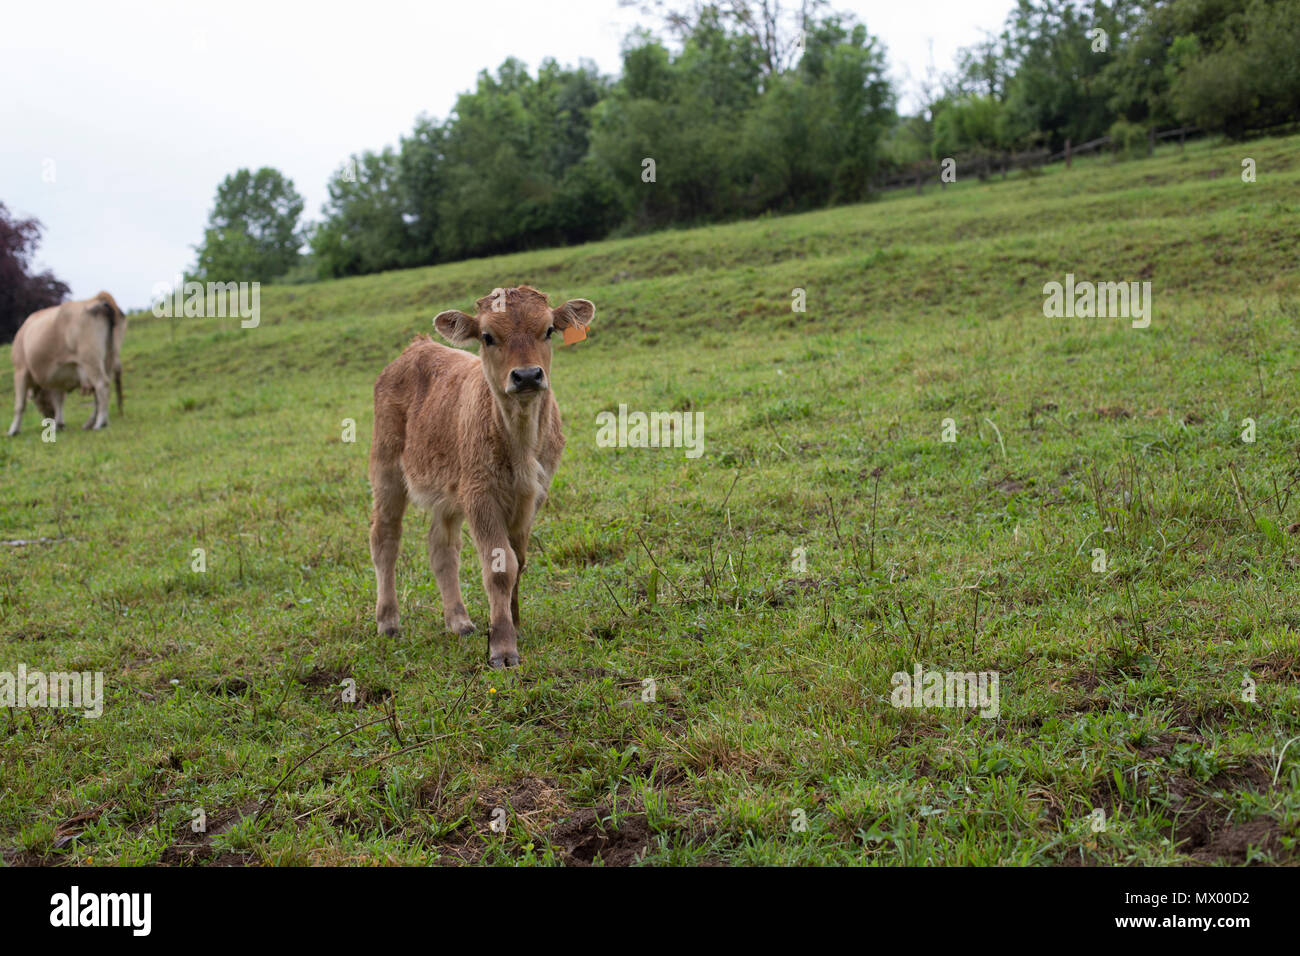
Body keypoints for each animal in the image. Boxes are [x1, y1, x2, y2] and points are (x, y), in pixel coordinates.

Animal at [8, 291, 126, 436]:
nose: (49, 416)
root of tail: (97, 299)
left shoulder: (21, 370)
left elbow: (20, 404)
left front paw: (13, 430)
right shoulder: (57, 376)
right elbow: (59, 399)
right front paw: (59, 423)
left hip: (90, 360)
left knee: (101, 385)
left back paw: (100, 423)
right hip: (109, 358)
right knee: (99, 394)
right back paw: (92, 422)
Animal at [368, 285, 594, 668]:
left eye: (549, 330)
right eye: (488, 336)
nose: (527, 375)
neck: (520, 444)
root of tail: (416, 347)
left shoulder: (534, 495)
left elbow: (518, 559)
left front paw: (514, 622)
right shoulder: (480, 495)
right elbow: (500, 567)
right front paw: (502, 646)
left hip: (448, 490)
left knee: (442, 547)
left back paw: (459, 621)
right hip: (386, 471)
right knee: (385, 538)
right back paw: (388, 621)